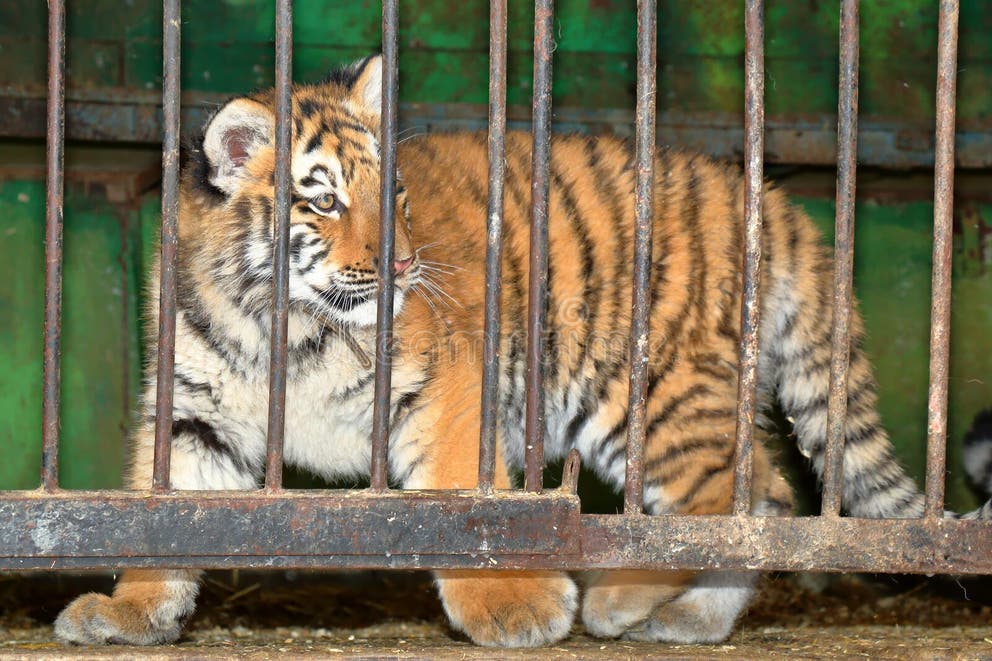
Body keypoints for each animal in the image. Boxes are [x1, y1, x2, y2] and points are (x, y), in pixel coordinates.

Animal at [55, 55, 992, 648]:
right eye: (324, 202)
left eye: (394, 192)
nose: (404, 263)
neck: (281, 322)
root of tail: (766, 199)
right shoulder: (192, 415)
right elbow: (159, 515)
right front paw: (129, 611)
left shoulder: (445, 388)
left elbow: (456, 501)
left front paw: (511, 604)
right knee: (757, 504)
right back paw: (683, 622)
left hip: (643, 390)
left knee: (742, 497)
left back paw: (615, 598)